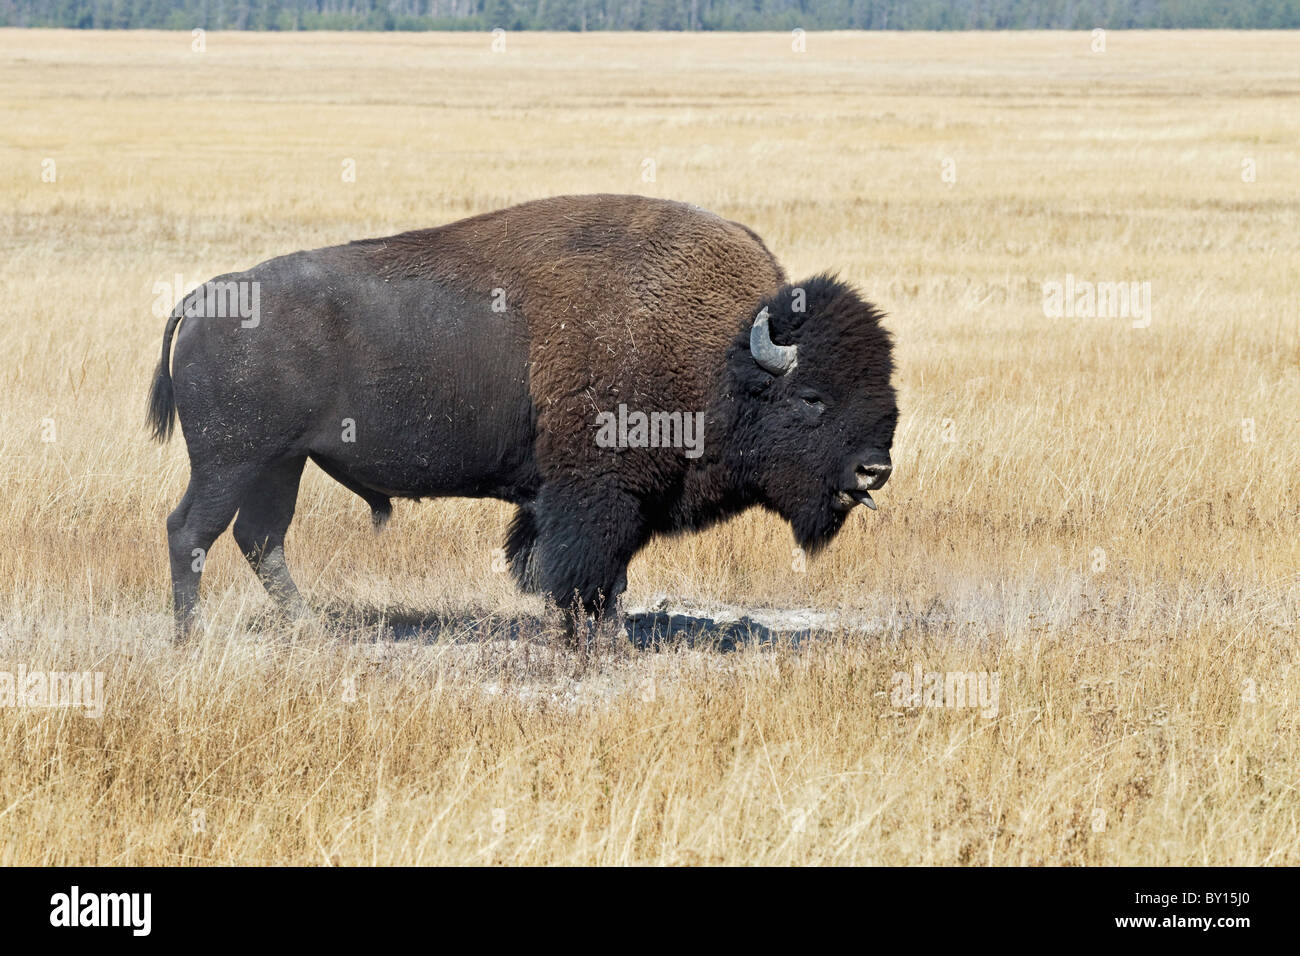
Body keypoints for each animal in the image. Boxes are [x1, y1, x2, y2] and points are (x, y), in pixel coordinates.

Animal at [147, 194, 897, 640]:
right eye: (813, 397)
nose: (875, 469)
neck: (725, 357)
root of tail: (201, 298)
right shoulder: (598, 495)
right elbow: (588, 569)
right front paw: (598, 637)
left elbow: (589, 569)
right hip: (232, 460)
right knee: (193, 531)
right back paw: (190, 638)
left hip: (281, 464)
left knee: (260, 538)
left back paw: (311, 628)